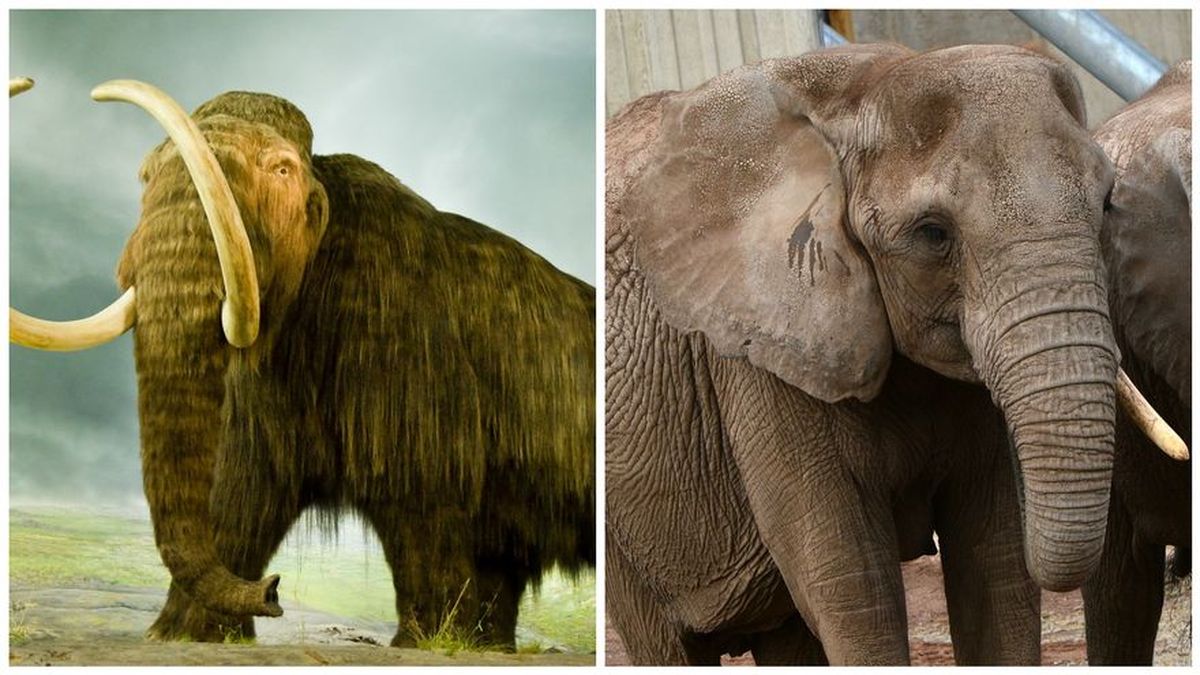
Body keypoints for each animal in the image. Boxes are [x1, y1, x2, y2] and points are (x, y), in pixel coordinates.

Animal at [10, 78, 595, 649]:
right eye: (145, 175)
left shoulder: (410, 361)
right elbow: (242, 487)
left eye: (281, 169)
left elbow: (420, 493)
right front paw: (182, 634)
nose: (274, 590)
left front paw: (427, 643)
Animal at [605, 43, 1183, 665]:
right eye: (932, 234)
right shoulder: (762, 354)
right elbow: (853, 588)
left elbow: (995, 566)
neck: (859, 91)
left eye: (1106, 205)